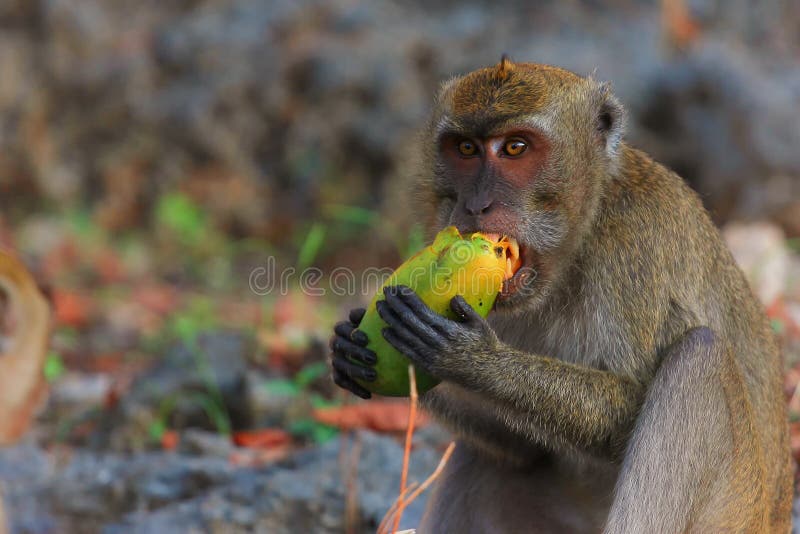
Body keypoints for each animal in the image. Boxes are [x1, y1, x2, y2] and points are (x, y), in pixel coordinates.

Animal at [330, 57, 793, 533]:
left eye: (515, 148)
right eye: (465, 149)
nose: (476, 205)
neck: (582, 236)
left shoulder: (637, 243)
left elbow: (629, 405)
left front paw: (472, 359)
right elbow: (520, 448)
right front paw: (350, 346)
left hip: (736, 512)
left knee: (700, 357)